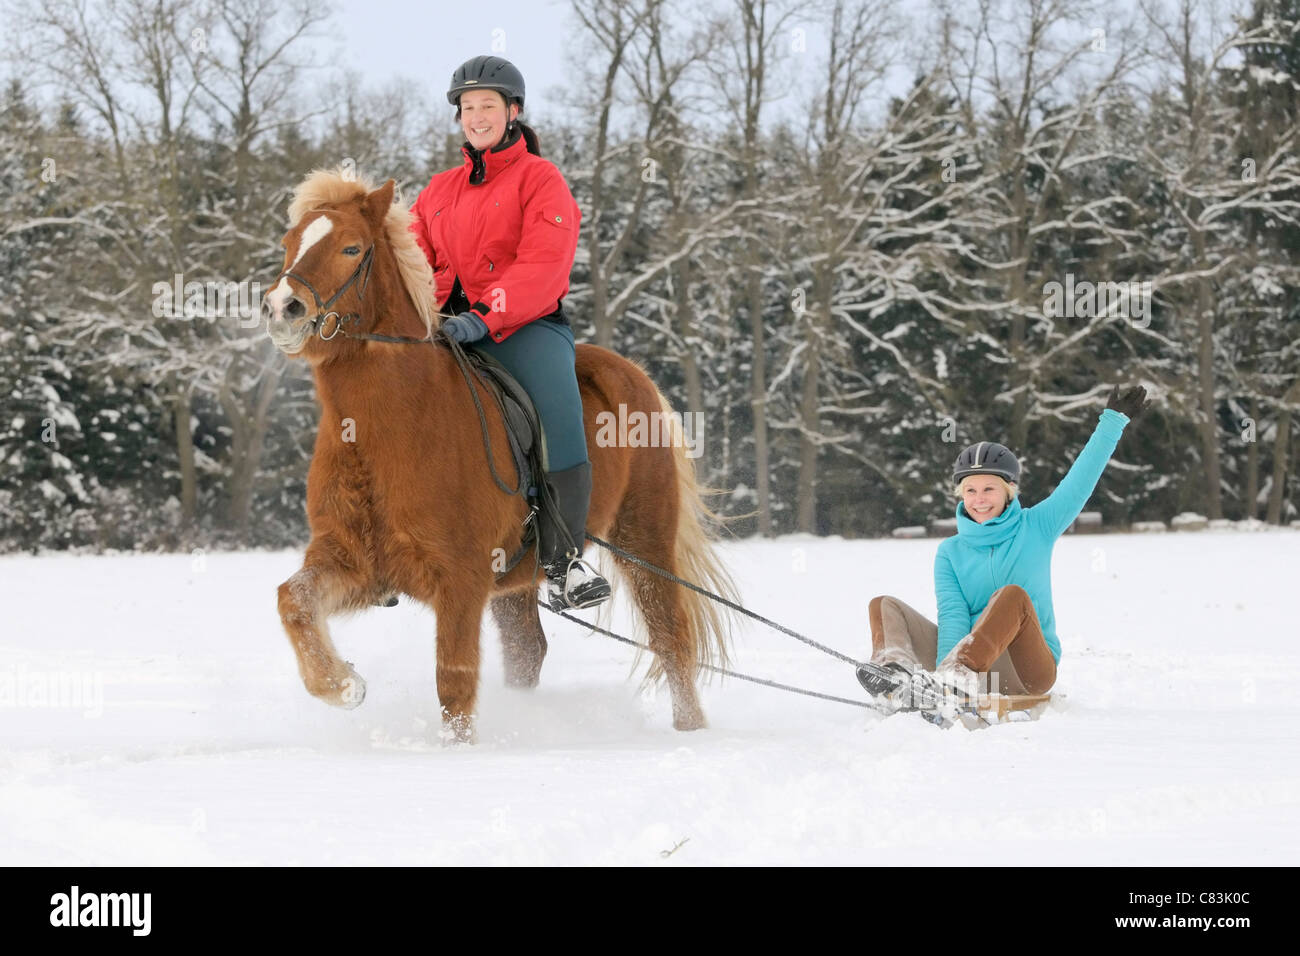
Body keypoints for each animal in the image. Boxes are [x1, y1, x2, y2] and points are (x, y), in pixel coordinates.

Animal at [261, 169, 738, 742]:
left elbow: (454, 681)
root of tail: (634, 375)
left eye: (352, 247)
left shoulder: (461, 578)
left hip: (643, 542)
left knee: (671, 640)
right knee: (528, 650)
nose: (282, 308)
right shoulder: (354, 563)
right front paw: (342, 684)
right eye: (290, 242)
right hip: (517, 580)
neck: (384, 429)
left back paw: (691, 731)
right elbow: (293, 601)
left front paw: (457, 750)